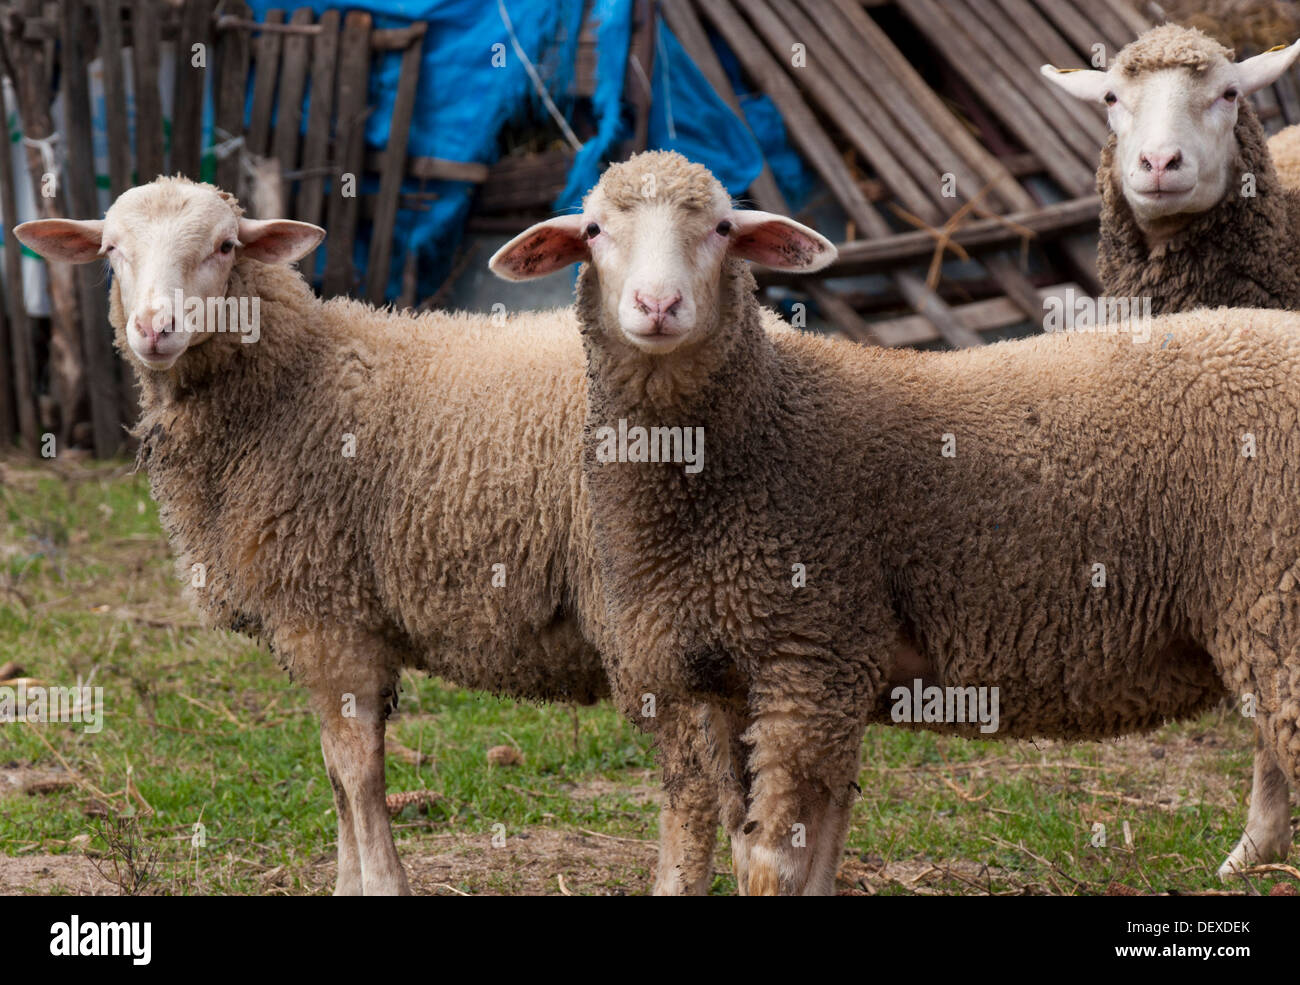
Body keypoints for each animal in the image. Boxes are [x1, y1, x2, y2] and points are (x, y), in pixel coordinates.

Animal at [14, 176, 729, 896]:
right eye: (112, 250)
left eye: (224, 246)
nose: (155, 329)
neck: (294, 381)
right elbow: (334, 774)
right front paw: (346, 882)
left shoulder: (330, 617)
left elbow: (358, 773)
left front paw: (382, 882)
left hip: (655, 612)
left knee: (695, 782)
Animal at [491, 151, 1300, 895]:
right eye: (594, 230)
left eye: (722, 228)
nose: (657, 305)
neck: (762, 427)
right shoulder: (735, 676)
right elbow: (793, 840)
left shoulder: (808, 654)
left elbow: (772, 860)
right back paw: (1248, 860)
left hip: (1271, 589)